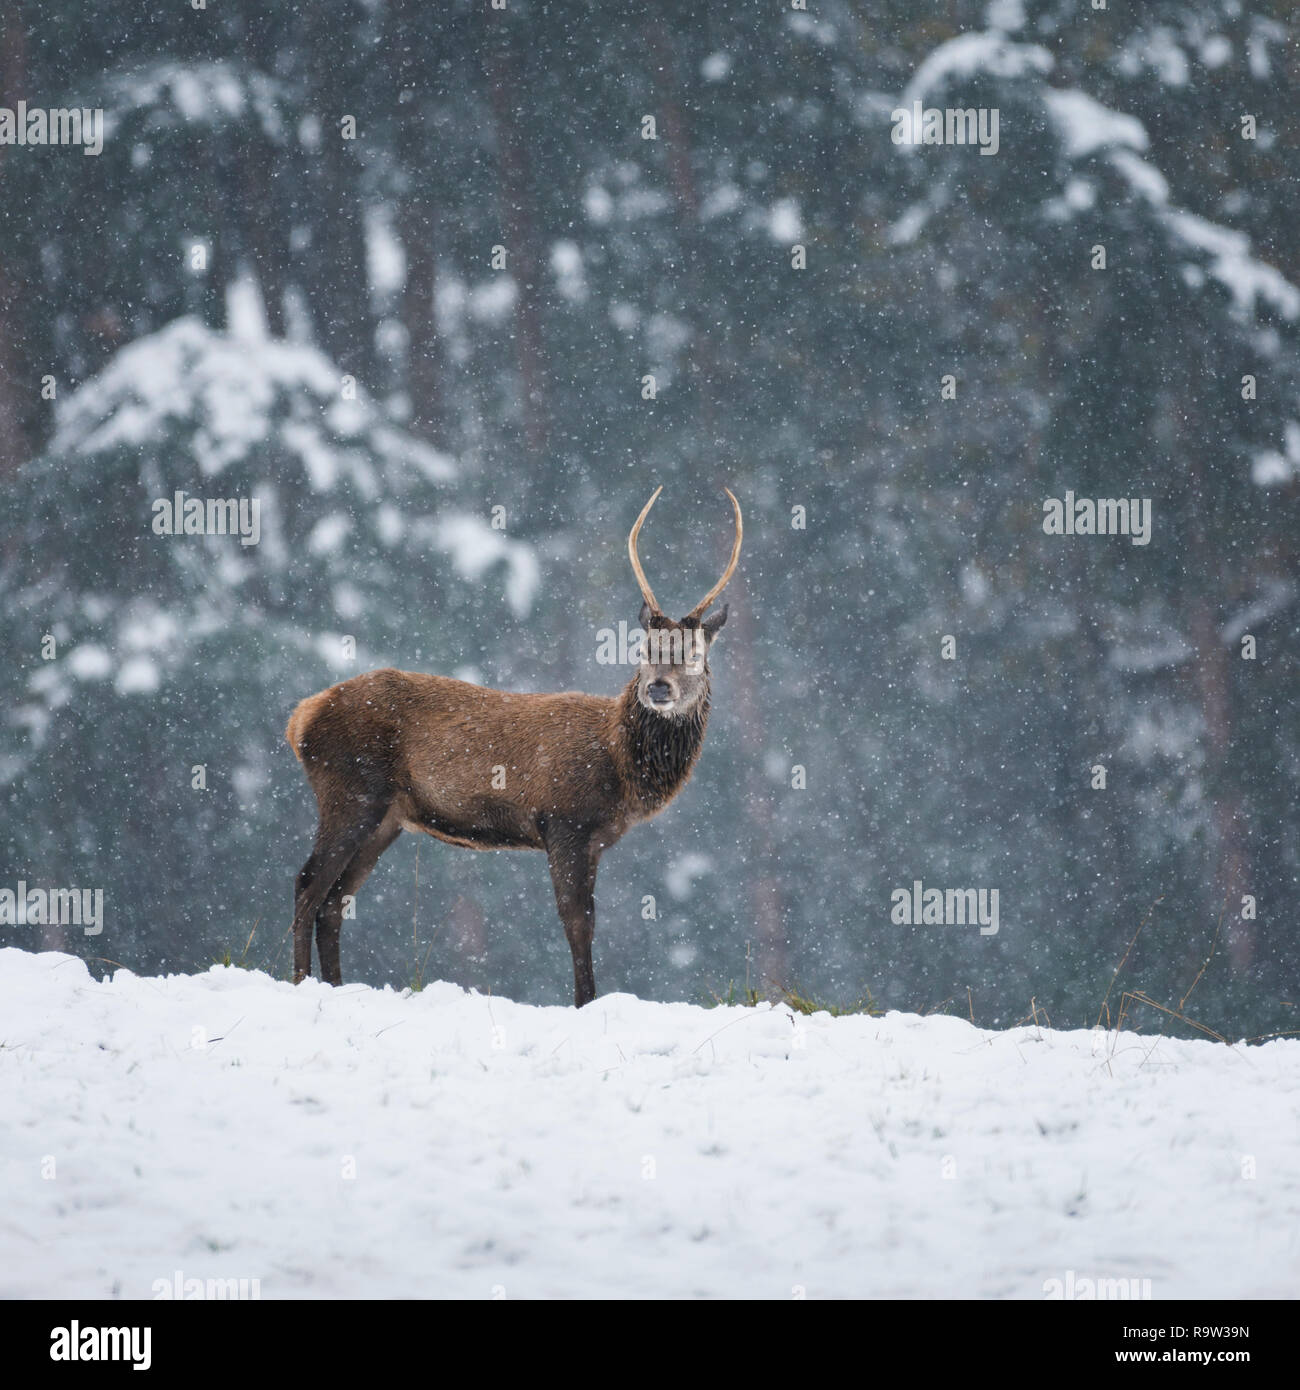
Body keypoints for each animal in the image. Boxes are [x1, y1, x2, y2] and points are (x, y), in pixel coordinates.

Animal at [285, 487, 742, 1006]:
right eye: (644, 649)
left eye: (695, 652)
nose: (658, 687)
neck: (620, 764)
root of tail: (300, 719)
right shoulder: (564, 821)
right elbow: (577, 921)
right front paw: (586, 1001)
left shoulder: (592, 840)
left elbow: (586, 918)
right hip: (349, 791)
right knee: (308, 883)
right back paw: (300, 983)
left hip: (387, 817)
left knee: (335, 900)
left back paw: (336, 987)